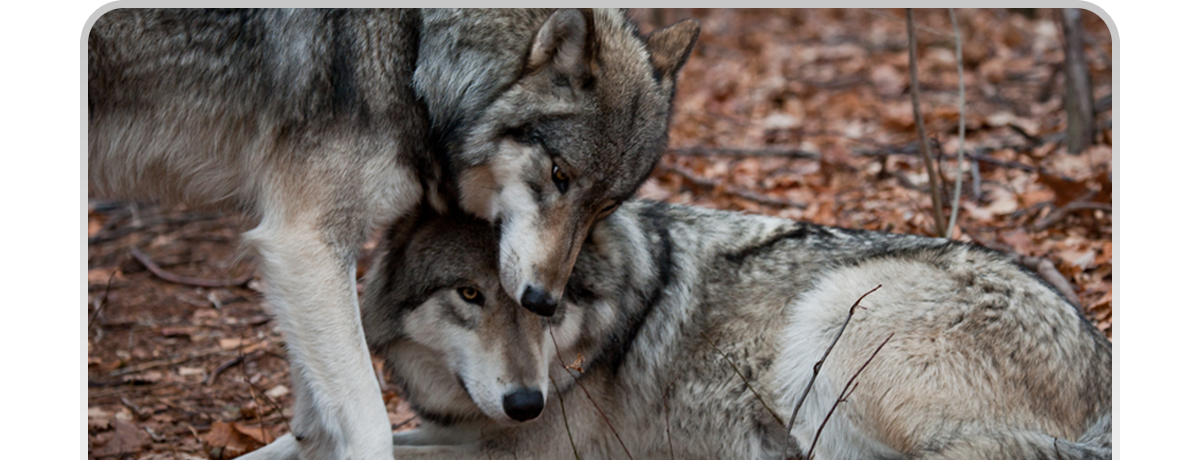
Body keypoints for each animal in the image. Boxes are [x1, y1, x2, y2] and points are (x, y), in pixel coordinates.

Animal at [88, 9, 699, 459]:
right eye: (559, 175)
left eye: (607, 205)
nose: (543, 301)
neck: (413, 50)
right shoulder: (304, 238)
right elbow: (370, 424)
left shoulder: (306, 254)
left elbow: (316, 416)